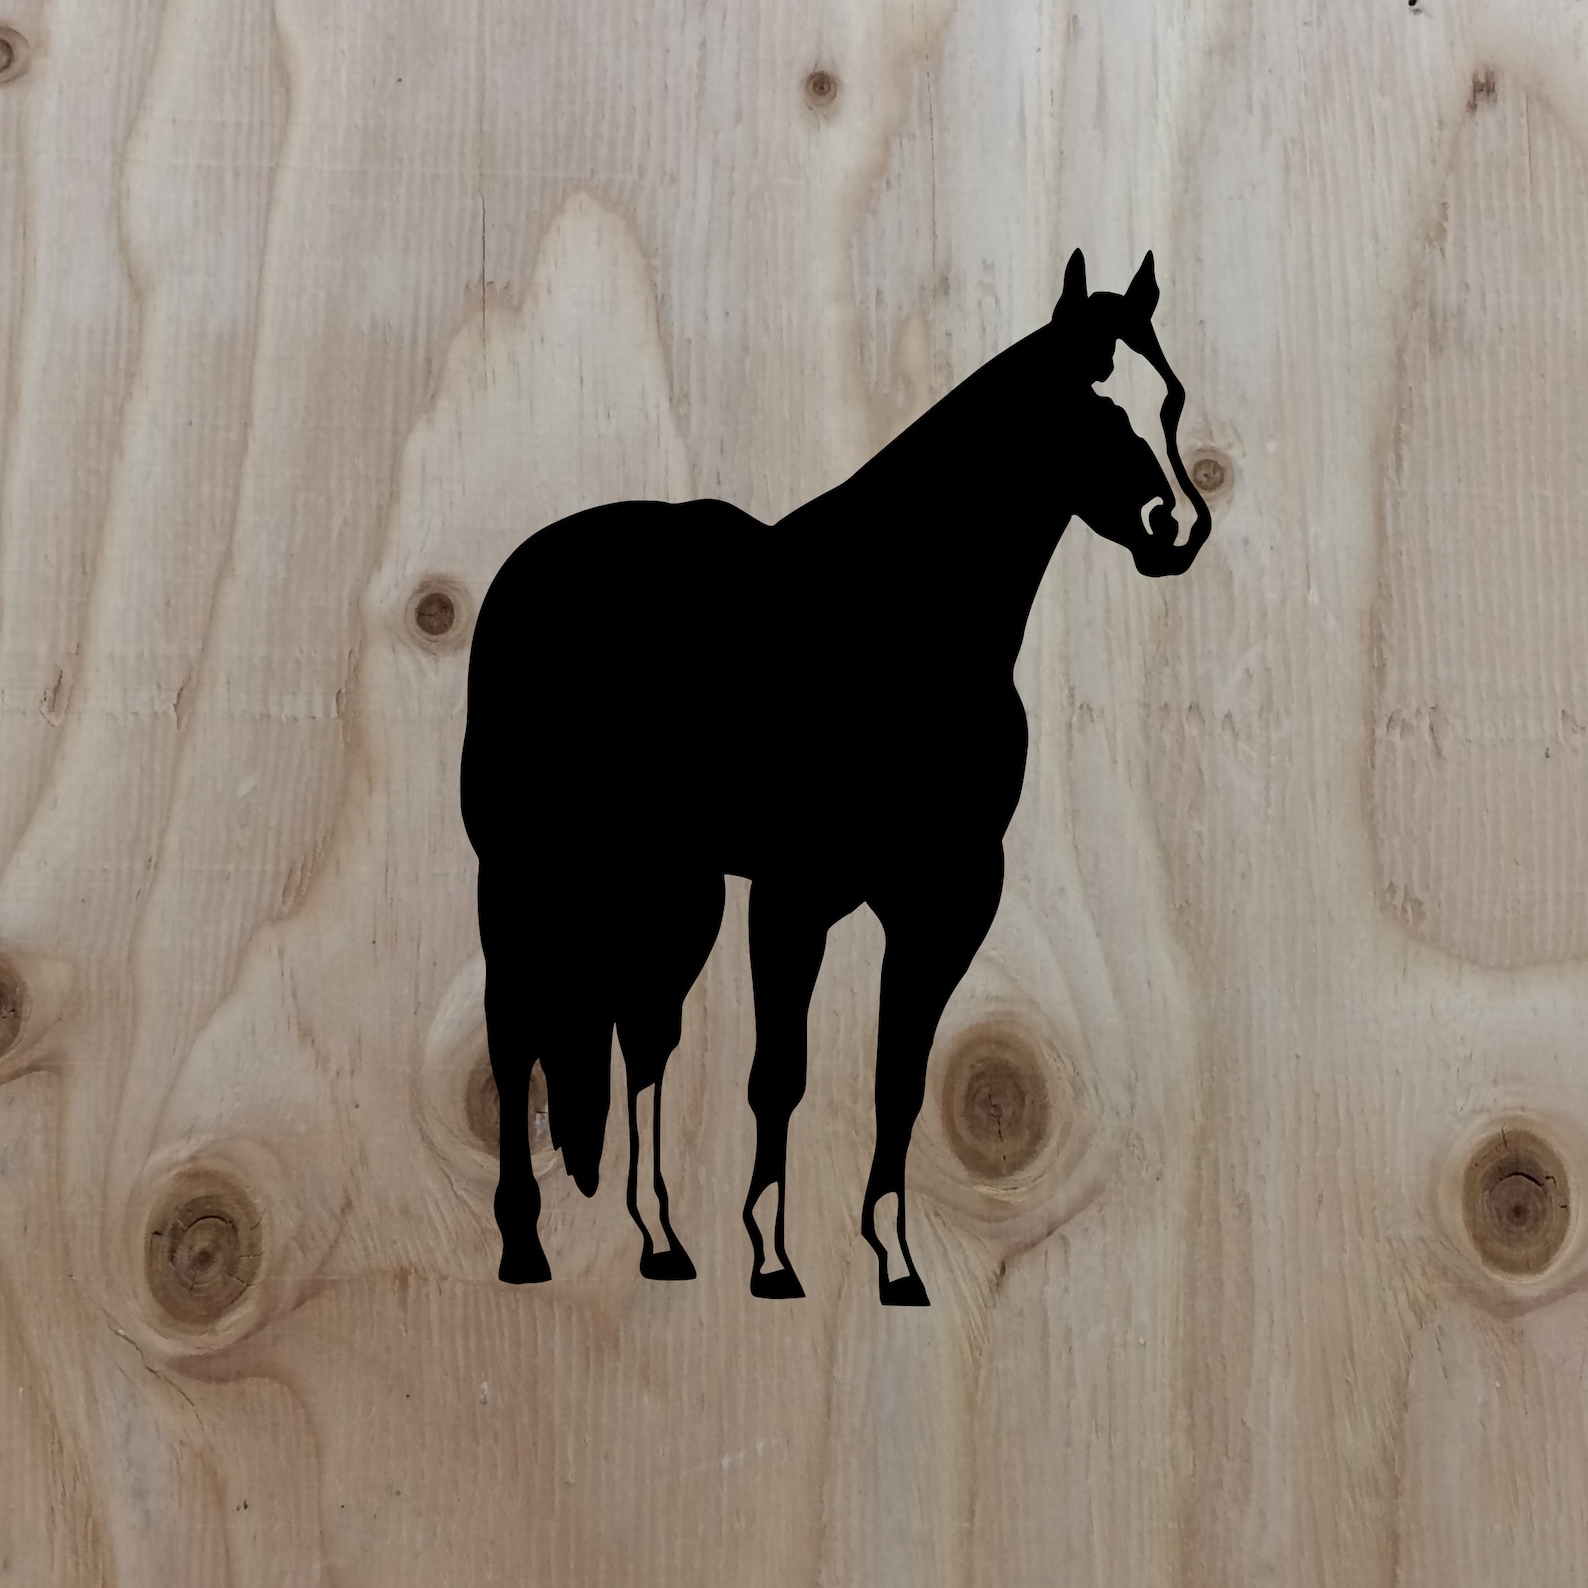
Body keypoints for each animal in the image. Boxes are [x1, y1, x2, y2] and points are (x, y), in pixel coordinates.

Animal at [460, 248, 1211, 1305]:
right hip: (521, 872)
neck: (897, 626)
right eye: (1092, 405)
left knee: (643, 1036)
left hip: (673, 887)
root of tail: (536, 563)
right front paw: (773, 1257)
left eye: (1169, 399)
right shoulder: (795, 892)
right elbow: (780, 1075)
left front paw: (894, 1259)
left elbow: (898, 1077)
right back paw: (524, 1245)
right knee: (516, 1030)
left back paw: (661, 1241)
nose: (1174, 526)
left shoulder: (948, 898)